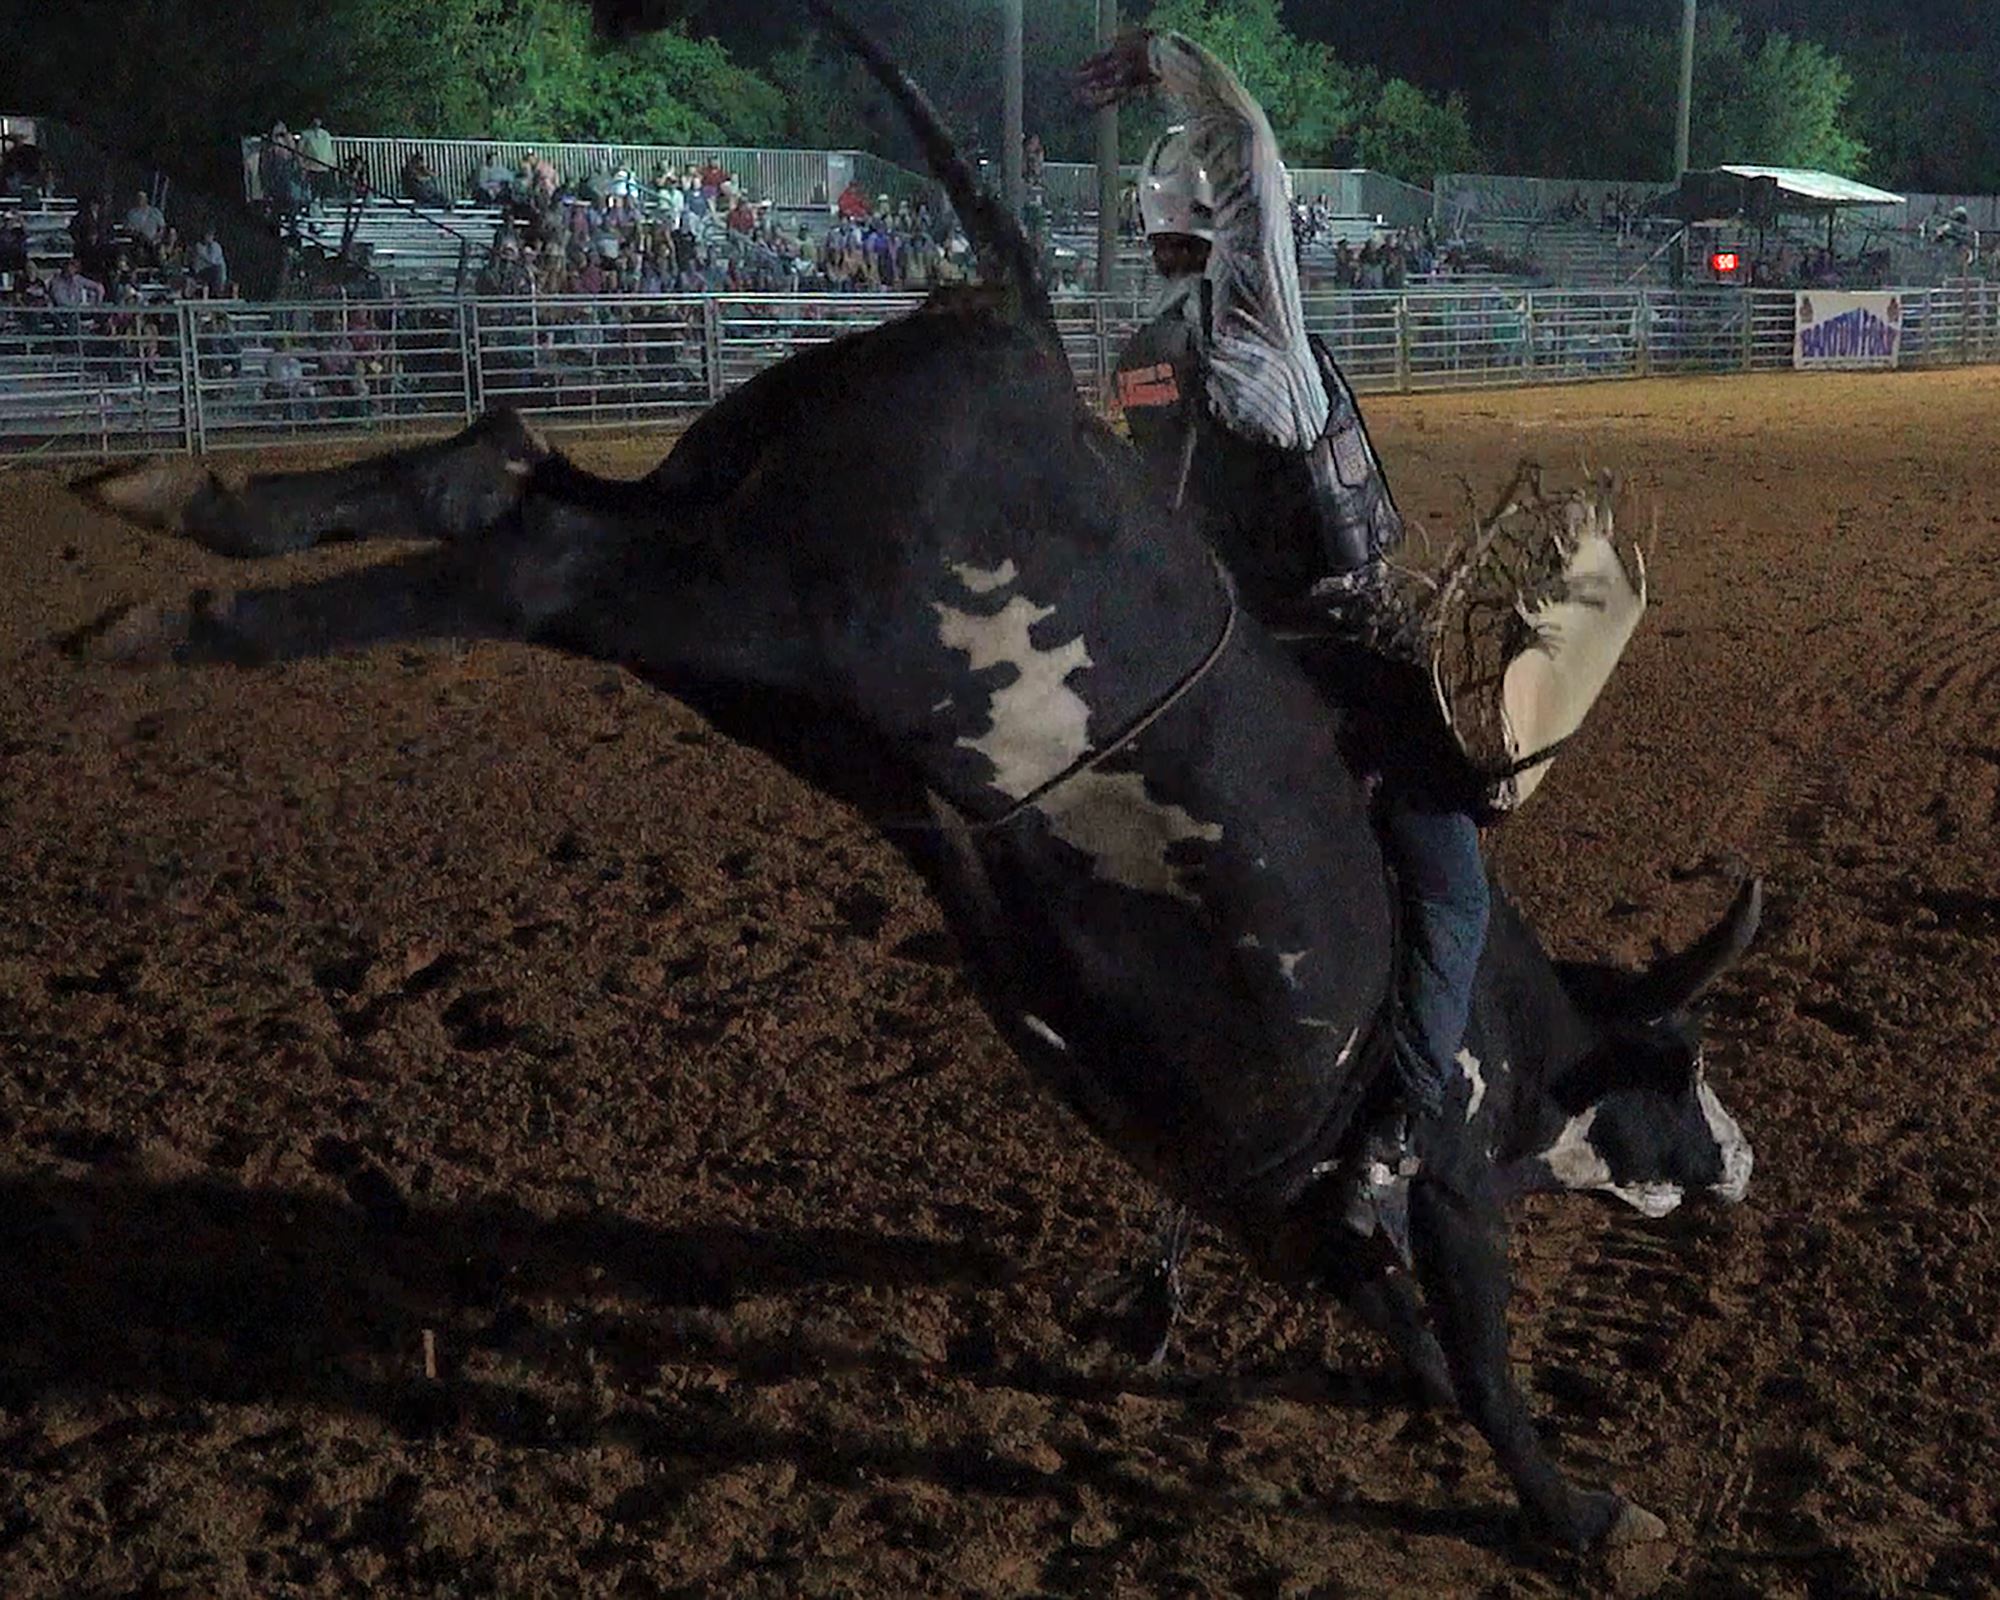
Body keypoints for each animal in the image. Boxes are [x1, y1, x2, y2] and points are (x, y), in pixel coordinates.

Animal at [59, 11, 1758, 1554]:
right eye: (1676, 1061)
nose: (1741, 1157)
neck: (1523, 1045)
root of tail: (1015, 339)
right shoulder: (1449, 1184)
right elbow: (1480, 1358)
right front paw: (1590, 1517)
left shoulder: (1293, 1214)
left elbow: (1407, 1335)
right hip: (758, 609)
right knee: (529, 554)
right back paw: (168, 611)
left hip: (730, 591)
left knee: (491, 467)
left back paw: (174, 499)